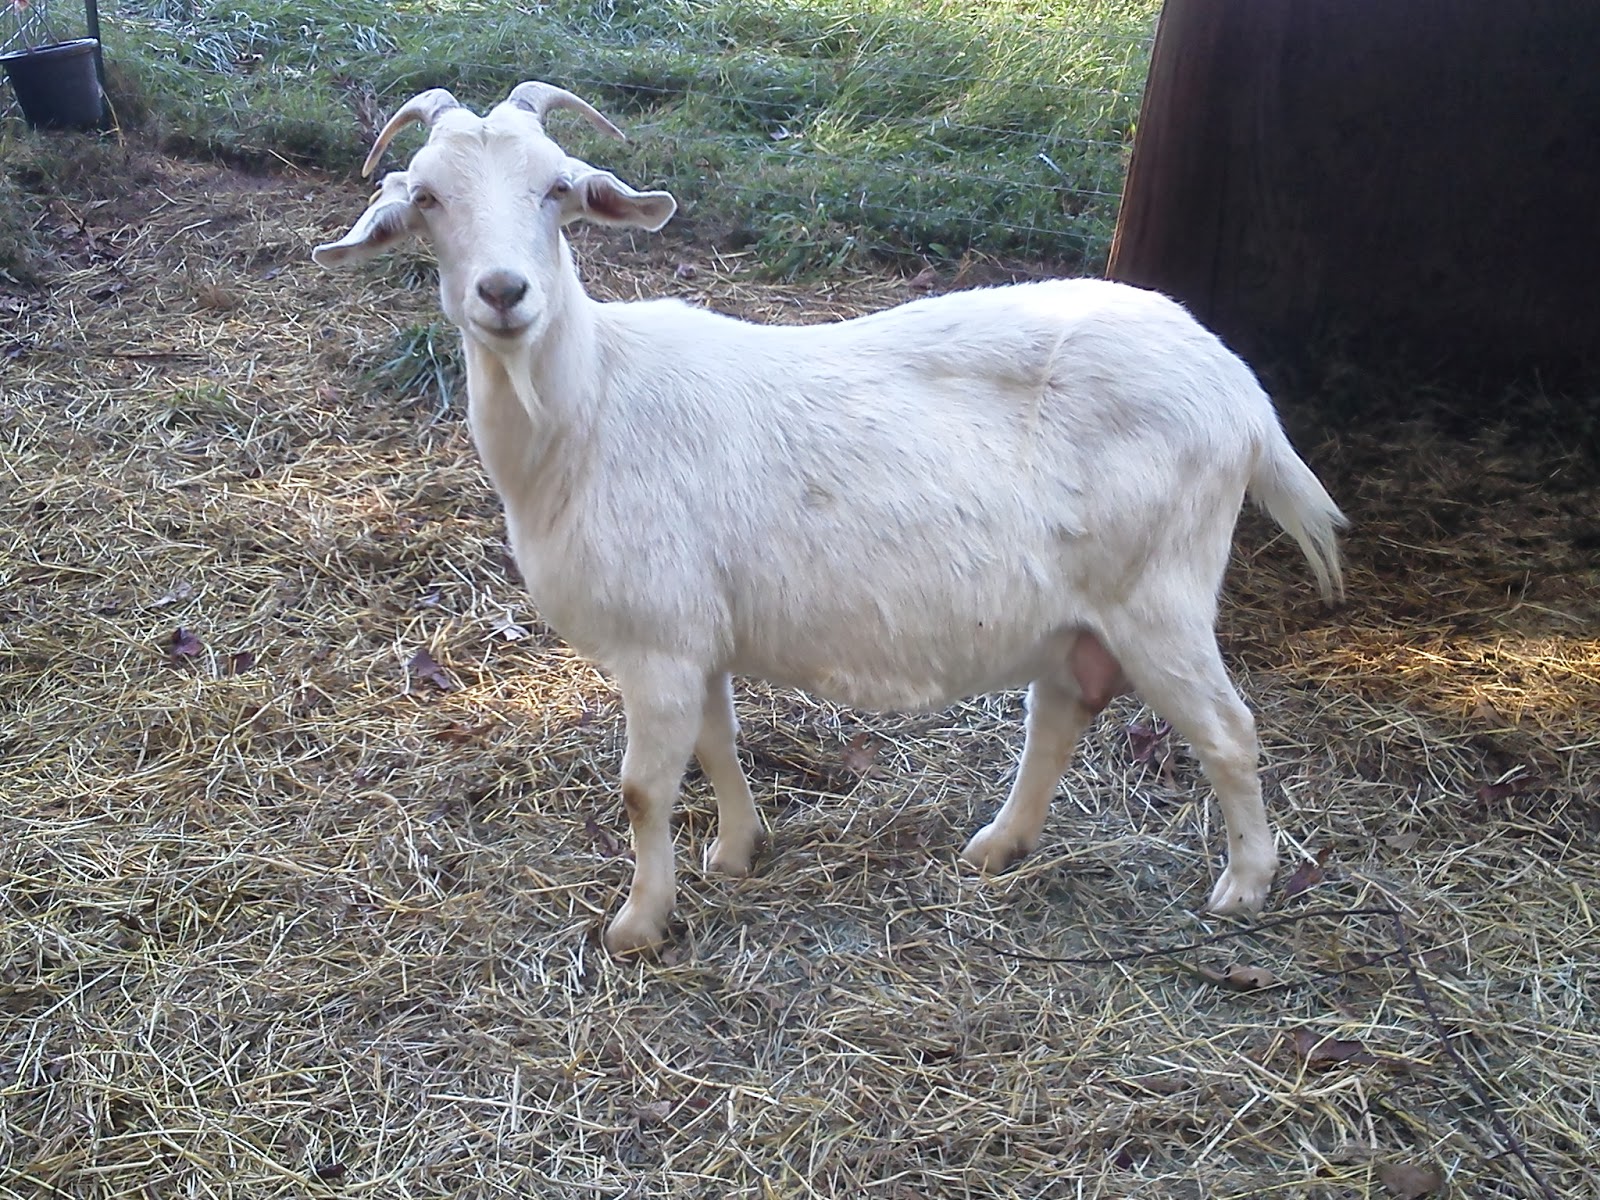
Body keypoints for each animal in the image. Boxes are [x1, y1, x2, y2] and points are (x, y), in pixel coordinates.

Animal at [313, 82, 1347, 955]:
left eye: (558, 187)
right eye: (429, 199)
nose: (503, 293)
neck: (592, 407)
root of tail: (1241, 394)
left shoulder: (656, 640)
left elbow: (645, 789)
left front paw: (638, 924)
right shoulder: (699, 635)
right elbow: (718, 745)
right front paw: (737, 851)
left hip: (1161, 589)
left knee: (1227, 729)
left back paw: (1245, 883)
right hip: (1085, 603)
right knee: (1059, 711)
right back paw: (998, 845)